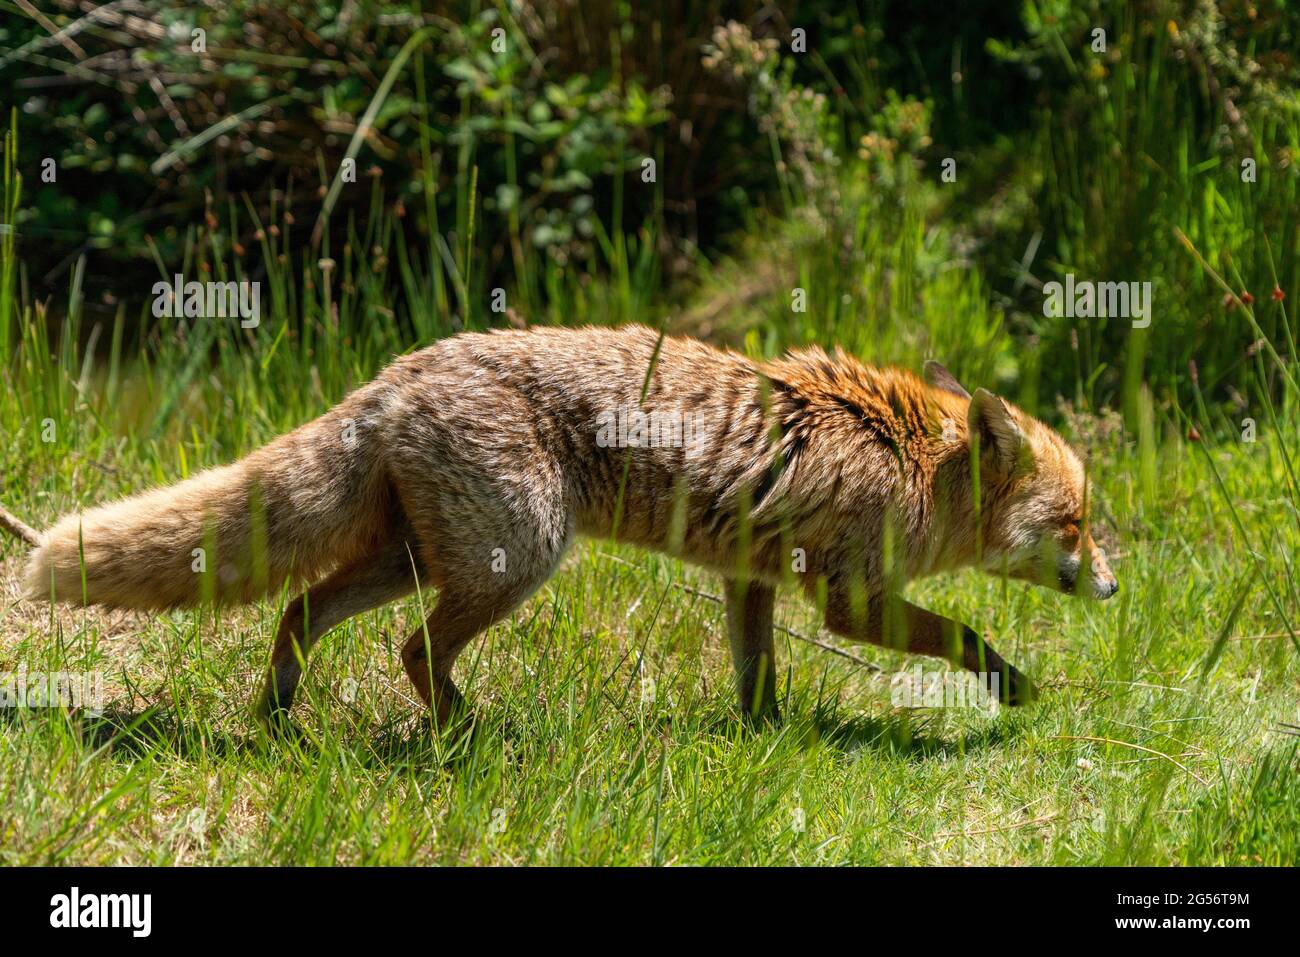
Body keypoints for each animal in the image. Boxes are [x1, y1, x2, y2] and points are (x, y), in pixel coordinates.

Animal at [18, 324, 1117, 726]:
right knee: (412, 651)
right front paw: (1013, 688)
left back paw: (281, 715)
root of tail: (397, 374)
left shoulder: (751, 579)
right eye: (1075, 524)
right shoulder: (848, 598)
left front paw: (763, 741)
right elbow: (964, 633)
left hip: (416, 557)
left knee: (300, 610)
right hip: (514, 560)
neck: (913, 464)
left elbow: (756, 677)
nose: (1114, 587)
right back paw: (467, 734)